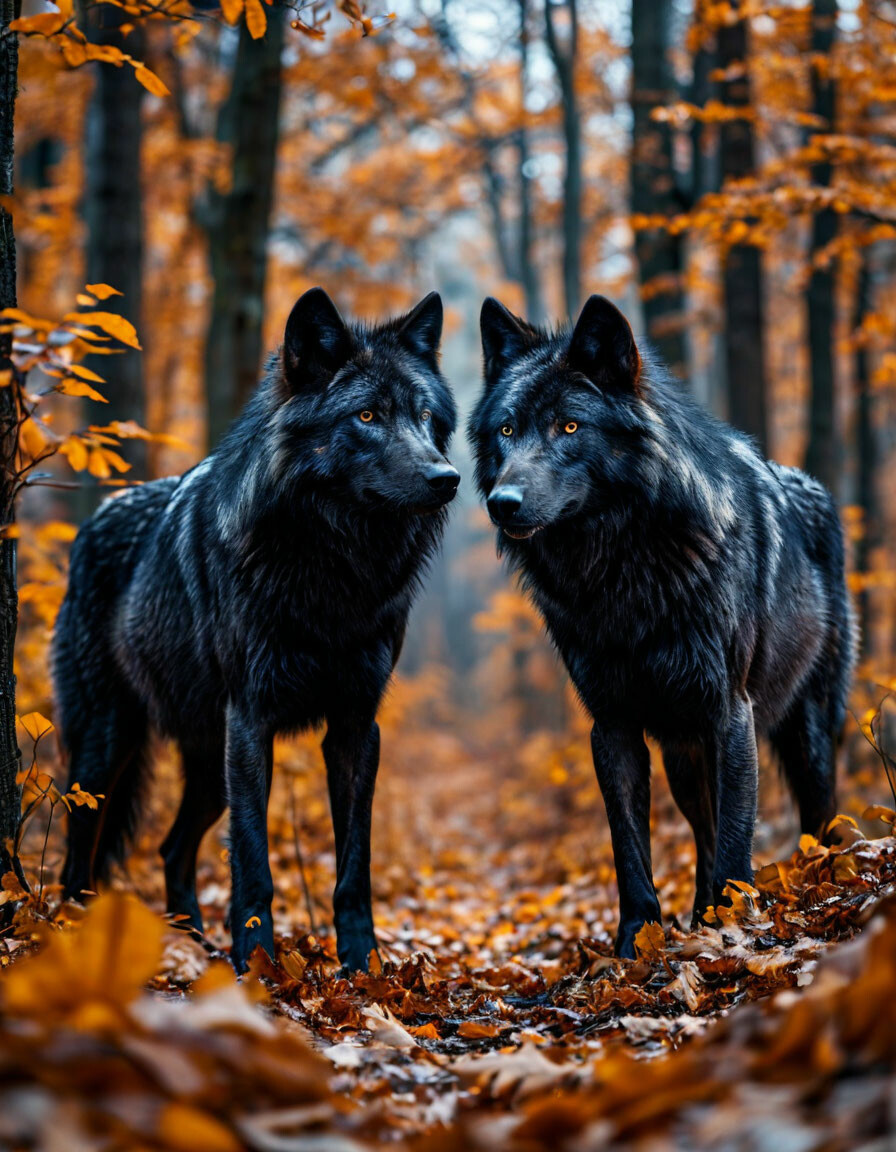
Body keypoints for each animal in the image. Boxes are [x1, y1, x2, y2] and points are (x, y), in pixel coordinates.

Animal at [53, 287, 459, 972]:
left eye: (426, 417)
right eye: (368, 416)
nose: (447, 477)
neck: (332, 570)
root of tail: (94, 520)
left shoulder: (356, 726)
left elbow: (354, 866)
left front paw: (362, 964)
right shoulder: (250, 720)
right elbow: (253, 862)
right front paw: (259, 964)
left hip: (205, 766)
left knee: (171, 847)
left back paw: (192, 943)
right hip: (109, 744)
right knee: (80, 841)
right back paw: (74, 930)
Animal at [470, 294, 855, 957]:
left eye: (569, 427)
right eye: (507, 429)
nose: (503, 502)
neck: (622, 570)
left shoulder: (730, 714)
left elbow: (735, 844)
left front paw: (735, 929)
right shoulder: (613, 726)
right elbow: (632, 848)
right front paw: (637, 943)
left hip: (806, 732)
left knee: (817, 820)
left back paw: (820, 889)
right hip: (682, 757)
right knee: (701, 832)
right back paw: (698, 917)